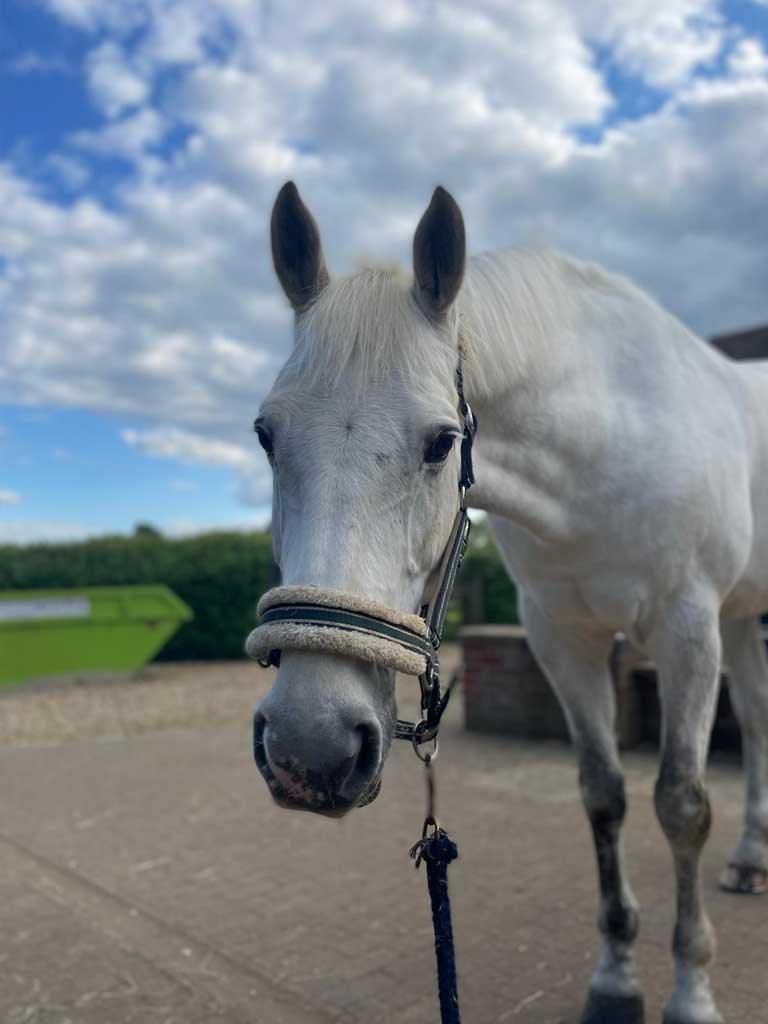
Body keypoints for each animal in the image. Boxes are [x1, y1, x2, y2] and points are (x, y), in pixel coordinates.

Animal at [249, 181, 768, 1024]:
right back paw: (753, 858)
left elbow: (682, 806)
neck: (613, 435)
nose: (310, 746)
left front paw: (691, 993)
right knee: (755, 720)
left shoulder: (687, 629)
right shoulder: (563, 639)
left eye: (439, 441)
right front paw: (615, 981)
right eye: (266, 434)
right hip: (742, 615)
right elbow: (603, 797)